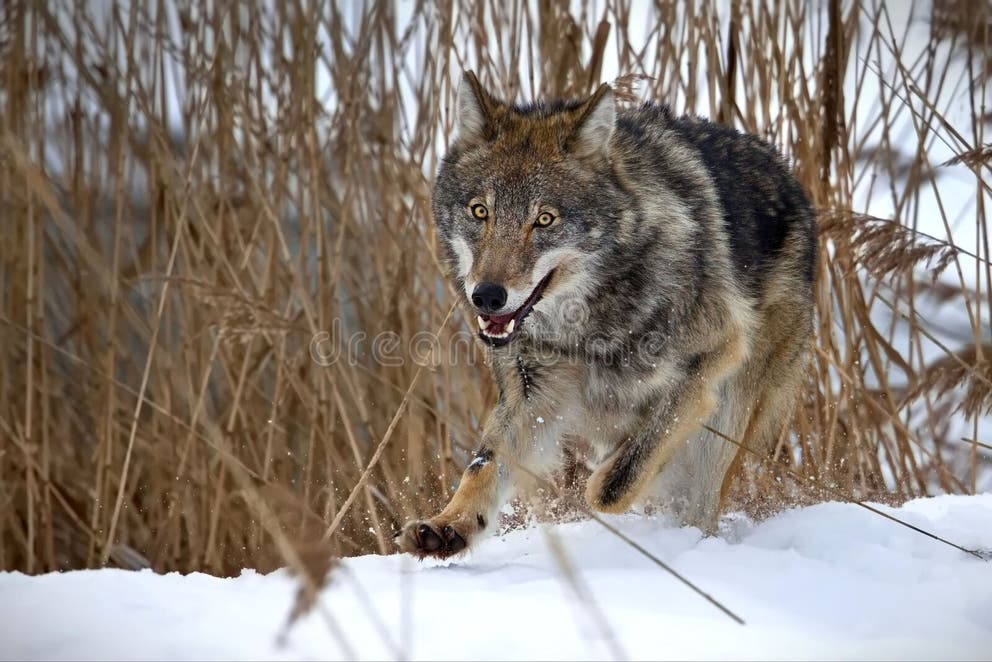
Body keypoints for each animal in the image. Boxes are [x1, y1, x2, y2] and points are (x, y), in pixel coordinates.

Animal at [396, 72, 816, 558]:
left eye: (544, 220)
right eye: (480, 211)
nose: (486, 296)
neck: (585, 326)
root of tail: (788, 175)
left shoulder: (713, 358)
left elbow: (615, 481)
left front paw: (605, 483)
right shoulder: (529, 395)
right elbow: (483, 466)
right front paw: (448, 527)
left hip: (729, 413)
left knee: (699, 503)